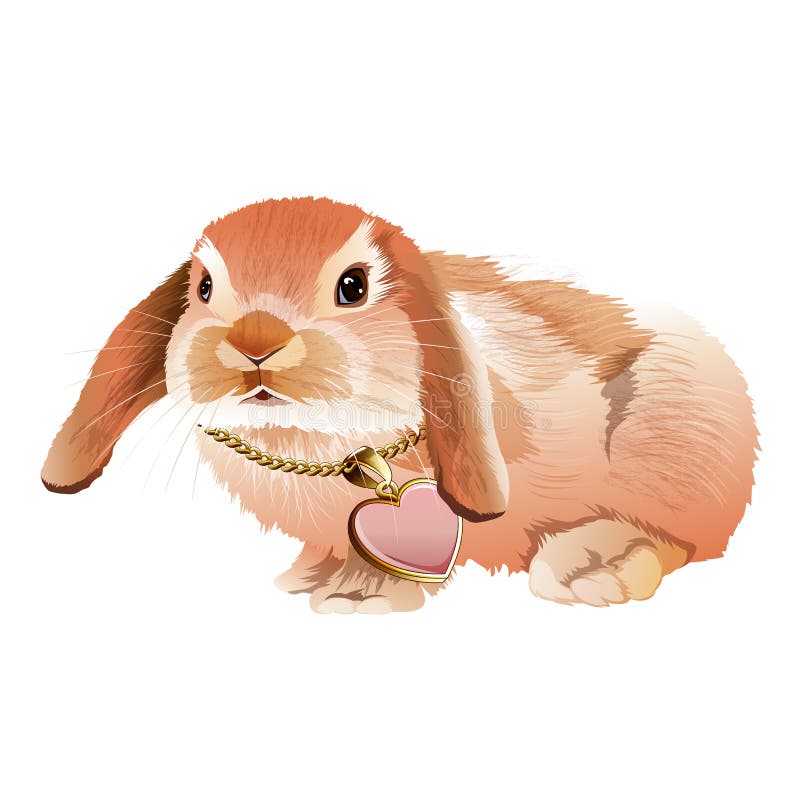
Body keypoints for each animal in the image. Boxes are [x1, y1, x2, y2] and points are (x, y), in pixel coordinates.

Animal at [42, 197, 757, 613]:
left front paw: (361, 600)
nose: (254, 343)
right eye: (204, 287)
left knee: (680, 538)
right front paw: (310, 581)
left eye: (353, 286)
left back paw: (591, 567)